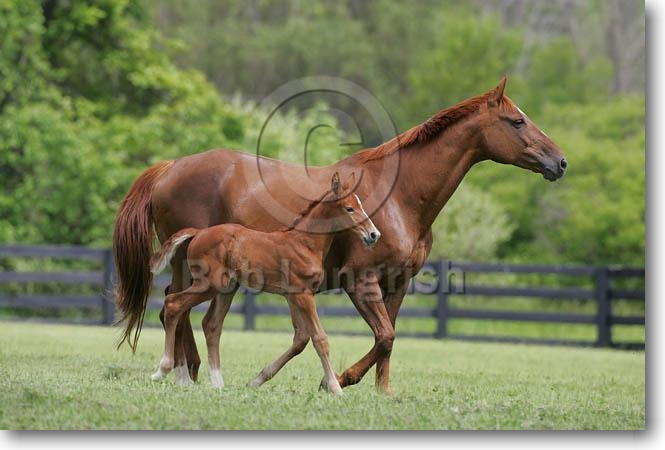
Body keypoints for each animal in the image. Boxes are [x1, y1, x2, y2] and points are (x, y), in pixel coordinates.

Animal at [148, 172, 379, 393]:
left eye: (360, 205)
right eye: (349, 208)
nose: (374, 234)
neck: (304, 243)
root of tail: (199, 232)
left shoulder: (292, 296)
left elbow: (301, 336)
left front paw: (257, 380)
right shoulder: (303, 294)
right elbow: (320, 339)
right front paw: (335, 388)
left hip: (226, 288)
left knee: (211, 324)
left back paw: (217, 383)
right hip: (209, 284)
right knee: (173, 303)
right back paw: (162, 370)